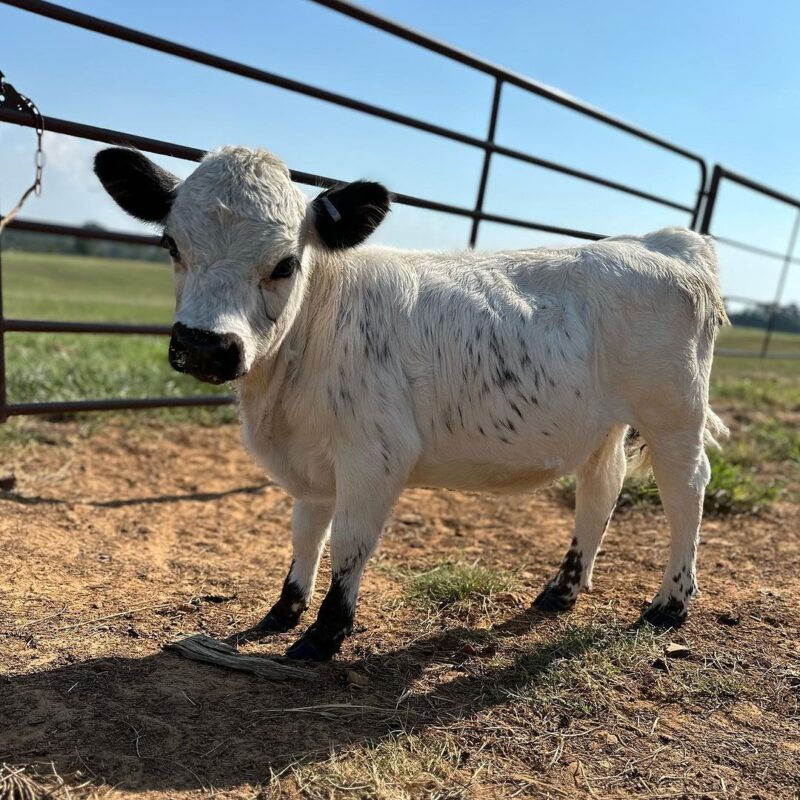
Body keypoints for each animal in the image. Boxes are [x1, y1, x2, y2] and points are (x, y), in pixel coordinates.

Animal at [94, 145, 729, 661]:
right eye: (171, 244)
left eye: (285, 263)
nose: (205, 346)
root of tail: (662, 242)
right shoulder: (312, 466)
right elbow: (306, 534)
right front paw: (284, 611)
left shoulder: (375, 455)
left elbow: (350, 542)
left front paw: (323, 636)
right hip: (603, 426)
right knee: (601, 491)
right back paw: (562, 590)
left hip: (673, 413)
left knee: (685, 491)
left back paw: (670, 604)